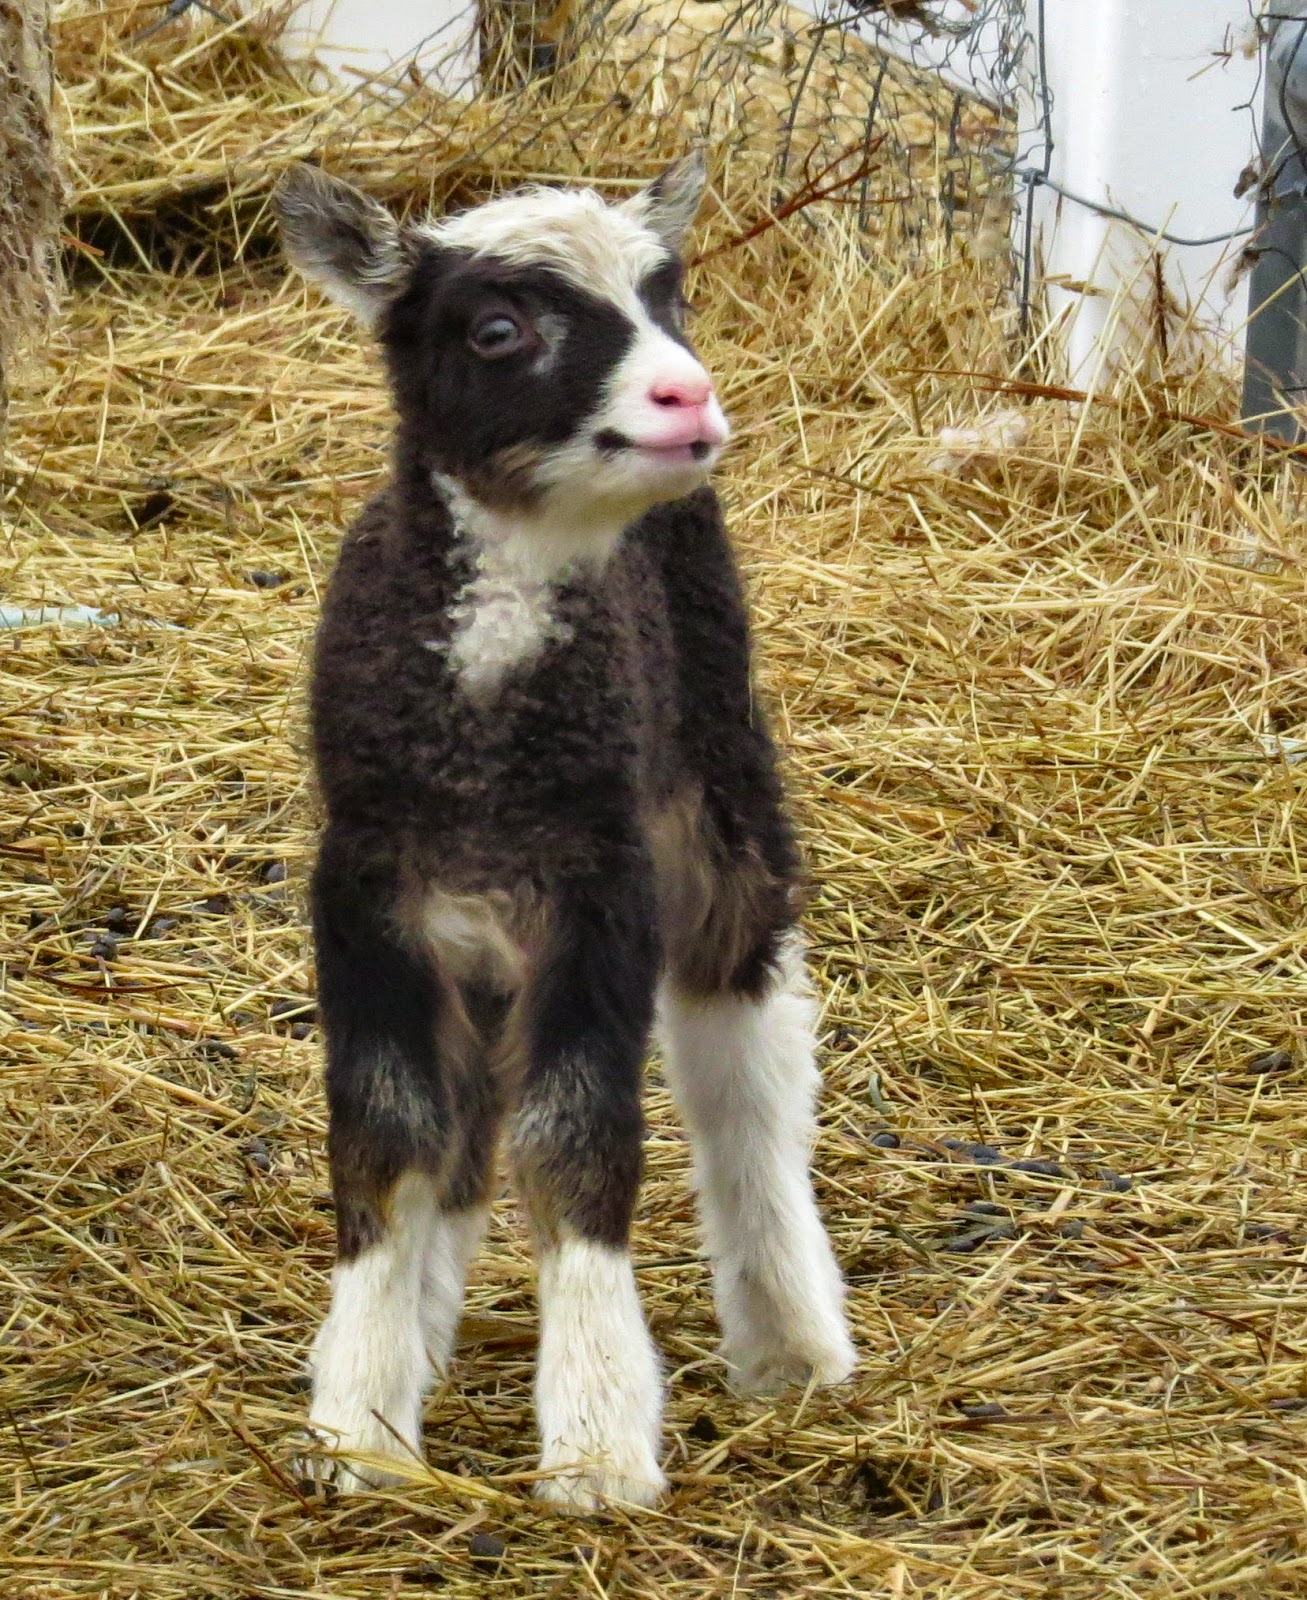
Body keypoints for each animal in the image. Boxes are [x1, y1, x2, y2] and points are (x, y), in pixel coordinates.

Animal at [272, 155, 855, 1512]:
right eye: (497, 329)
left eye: (666, 295)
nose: (684, 393)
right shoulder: (366, 895)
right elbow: (389, 1136)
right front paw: (360, 1412)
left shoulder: (600, 890)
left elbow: (576, 1138)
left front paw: (593, 1440)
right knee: (466, 1117)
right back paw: (422, 1326)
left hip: (713, 776)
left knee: (744, 1059)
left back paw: (791, 1336)